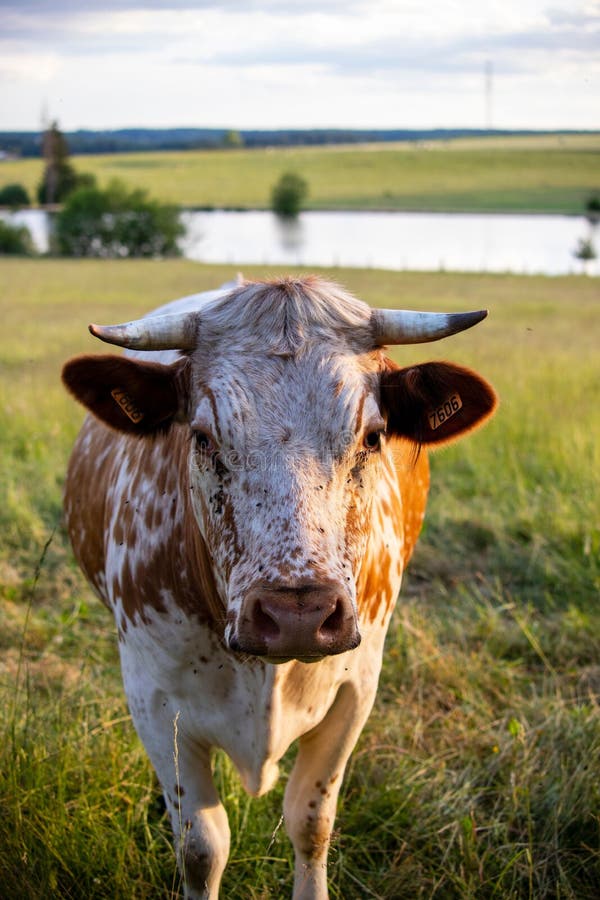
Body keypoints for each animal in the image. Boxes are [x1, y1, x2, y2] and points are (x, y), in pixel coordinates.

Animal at [62, 275, 497, 899]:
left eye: (373, 436)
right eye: (202, 437)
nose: (298, 616)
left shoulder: (356, 691)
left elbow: (311, 823)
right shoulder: (151, 698)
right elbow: (201, 846)